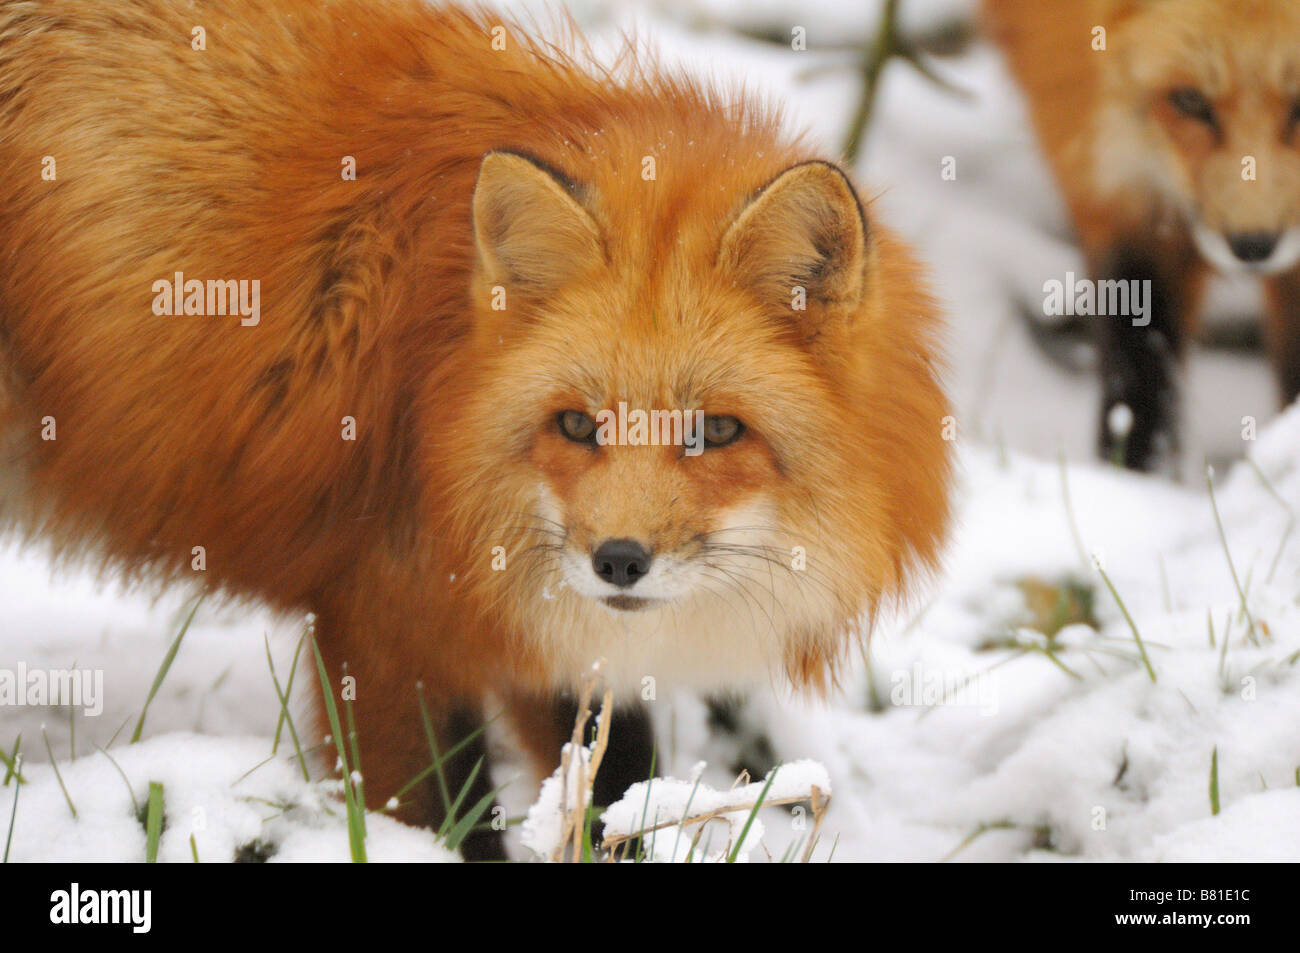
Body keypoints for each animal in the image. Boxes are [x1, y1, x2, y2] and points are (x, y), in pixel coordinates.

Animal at [0, 0, 952, 858]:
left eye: (715, 430)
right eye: (576, 423)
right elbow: (440, 814)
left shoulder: (544, 628)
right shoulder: (383, 618)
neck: (446, 390)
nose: (618, 560)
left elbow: (614, 787)